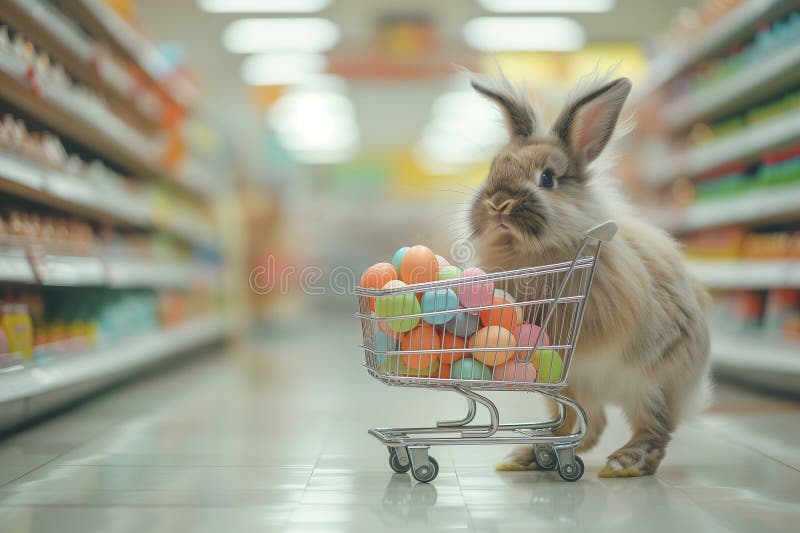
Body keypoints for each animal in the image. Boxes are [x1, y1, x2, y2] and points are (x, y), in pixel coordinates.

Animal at [467, 70, 711, 477]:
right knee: (583, 425)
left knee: (652, 430)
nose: (498, 203)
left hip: (654, 383)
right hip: (567, 390)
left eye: (547, 178)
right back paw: (529, 456)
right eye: (493, 168)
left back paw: (623, 463)